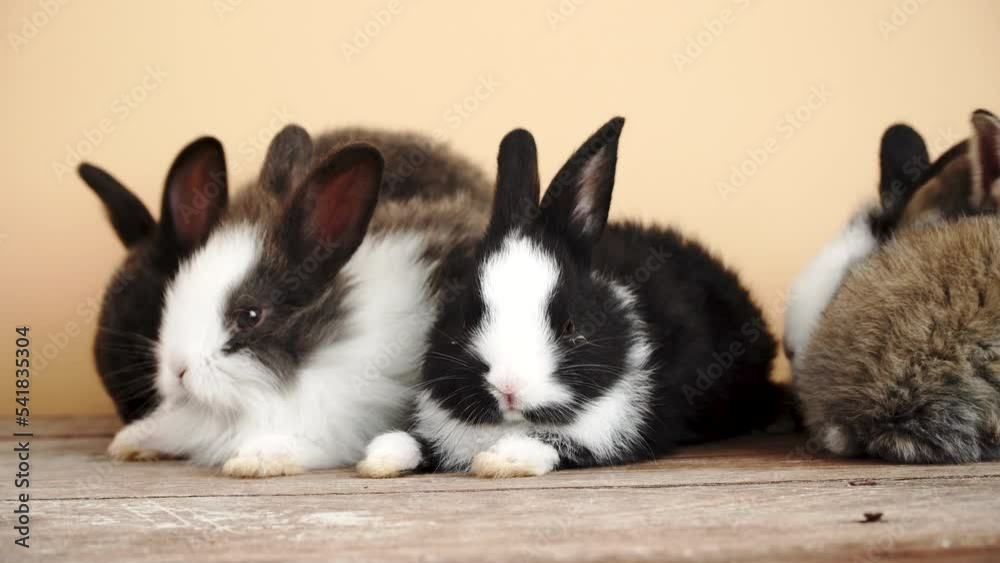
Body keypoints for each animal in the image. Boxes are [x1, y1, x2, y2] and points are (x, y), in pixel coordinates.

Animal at [357, 117, 782, 479]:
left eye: (570, 326)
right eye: (465, 320)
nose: (508, 388)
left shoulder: (617, 432)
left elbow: (559, 444)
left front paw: (502, 459)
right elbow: (418, 443)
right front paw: (380, 457)